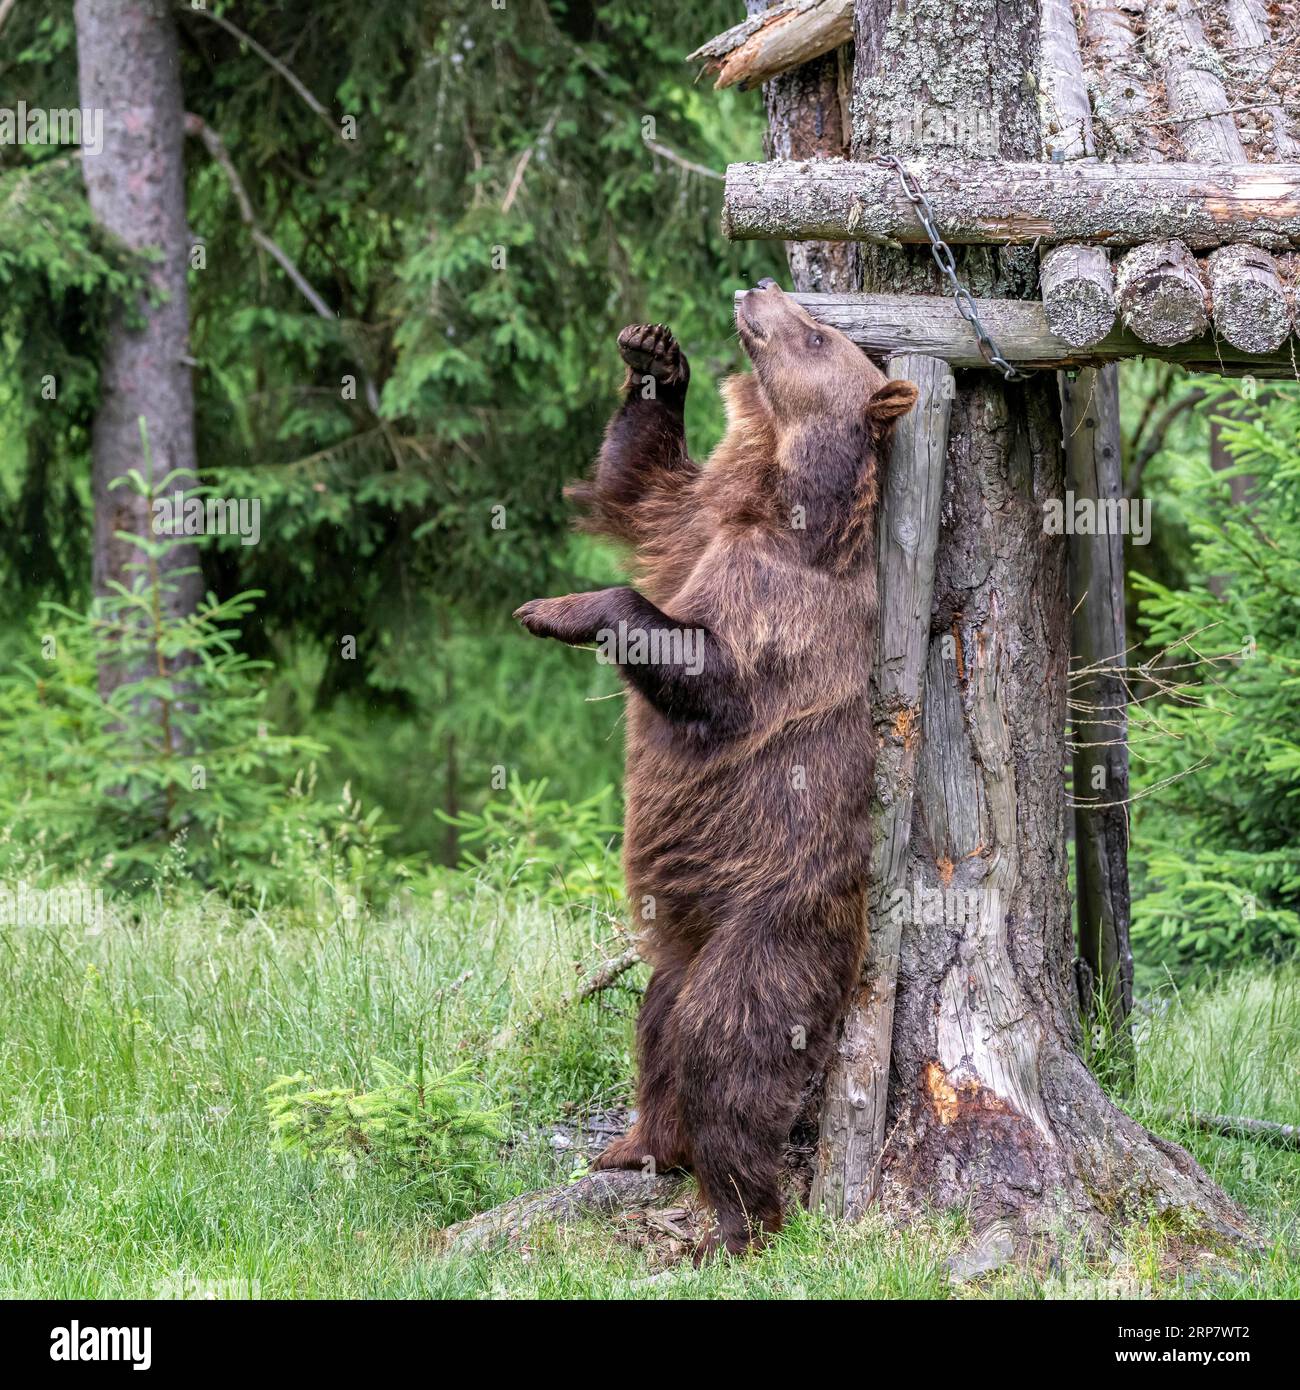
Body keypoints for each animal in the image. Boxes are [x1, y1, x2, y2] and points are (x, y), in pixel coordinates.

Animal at [514, 279, 917, 1257]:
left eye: (816, 338)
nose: (761, 290)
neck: (773, 498)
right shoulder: (697, 521)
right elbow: (640, 489)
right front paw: (655, 353)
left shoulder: (785, 617)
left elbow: (702, 665)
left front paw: (557, 608)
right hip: (683, 940)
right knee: (655, 1027)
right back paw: (637, 1147)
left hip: (769, 925)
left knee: (727, 1054)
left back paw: (740, 1223)